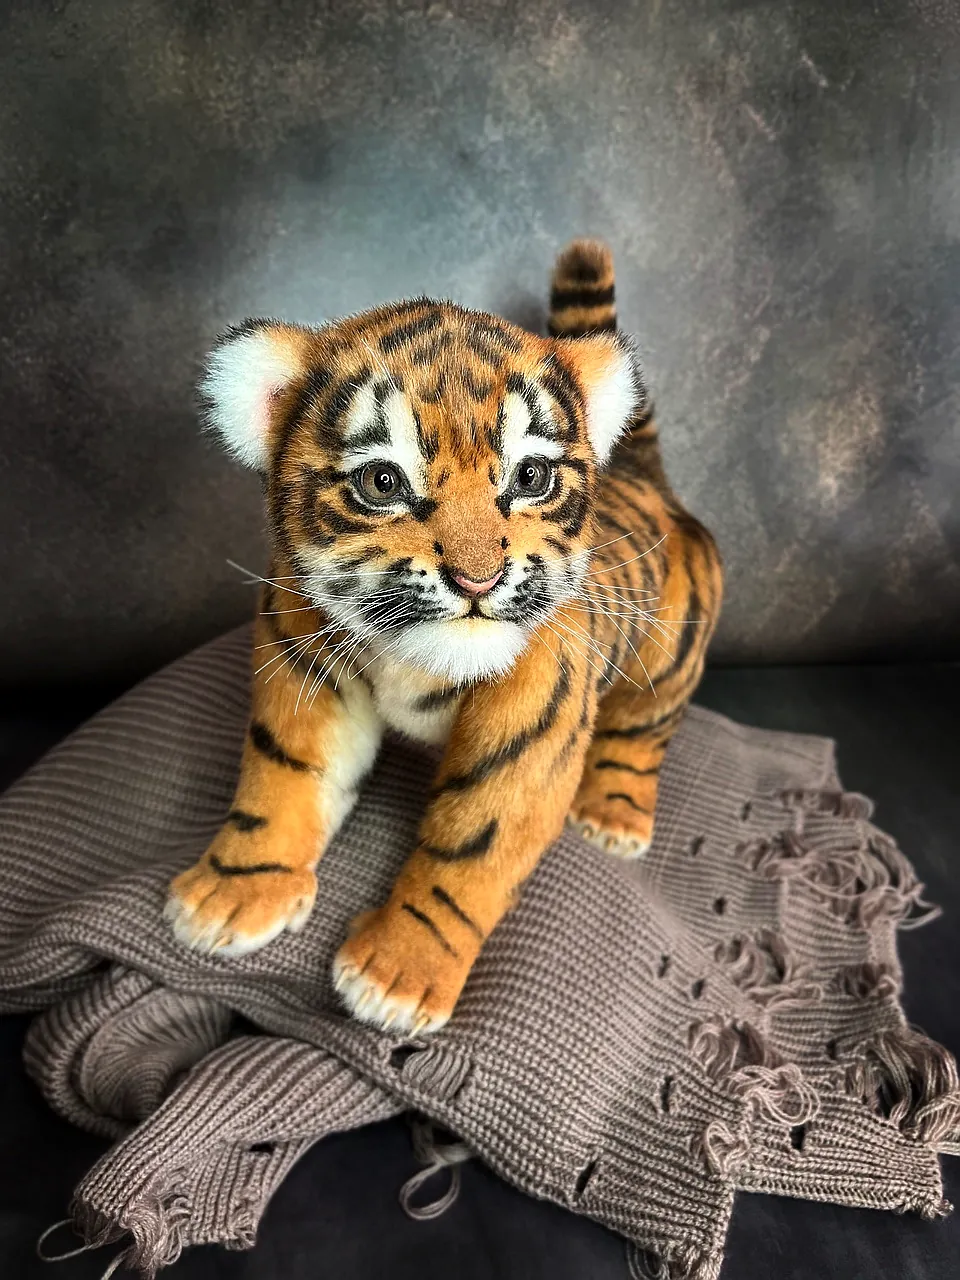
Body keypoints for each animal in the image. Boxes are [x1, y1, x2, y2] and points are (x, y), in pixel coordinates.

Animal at [165, 239, 723, 1036]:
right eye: (382, 483)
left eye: (531, 476)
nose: (478, 580)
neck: (416, 665)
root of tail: (651, 481)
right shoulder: (307, 674)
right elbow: (282, 778)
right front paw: (232, 895)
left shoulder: (531, 731)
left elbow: (471, 847)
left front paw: (394, 976)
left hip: (668, 663)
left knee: (641, 734)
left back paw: (612, 816)